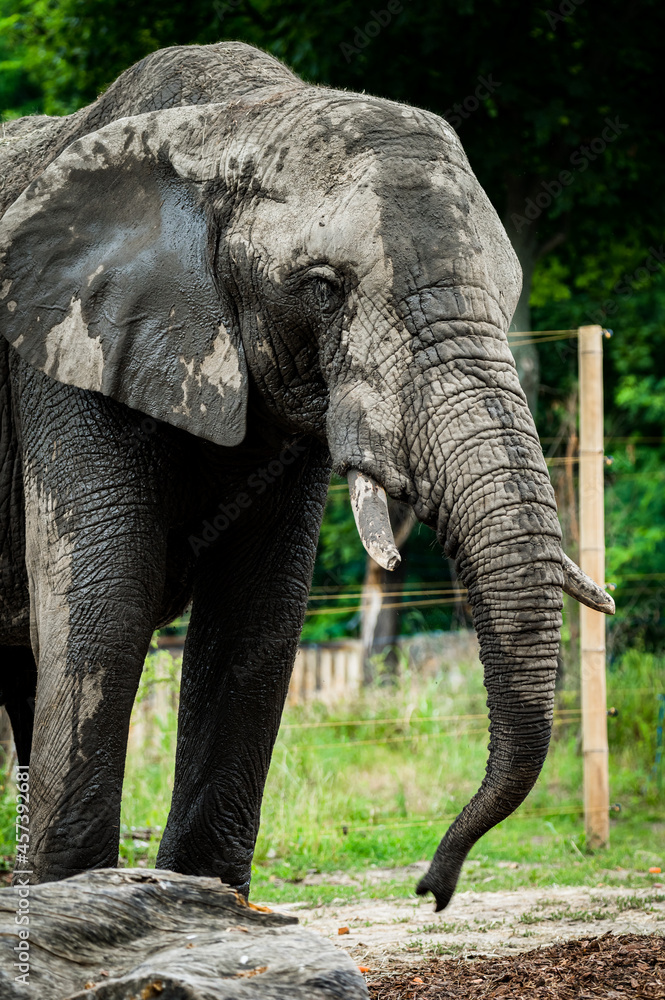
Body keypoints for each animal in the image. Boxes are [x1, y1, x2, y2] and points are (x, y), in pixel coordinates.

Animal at [0, 41, 613, 909]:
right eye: (321, 290)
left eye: (509, 294)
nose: (431, 889)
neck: (229, 122)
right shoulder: (61, 347)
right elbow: (106, 596)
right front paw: (79, 898)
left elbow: (257, 612)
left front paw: (208, 905)